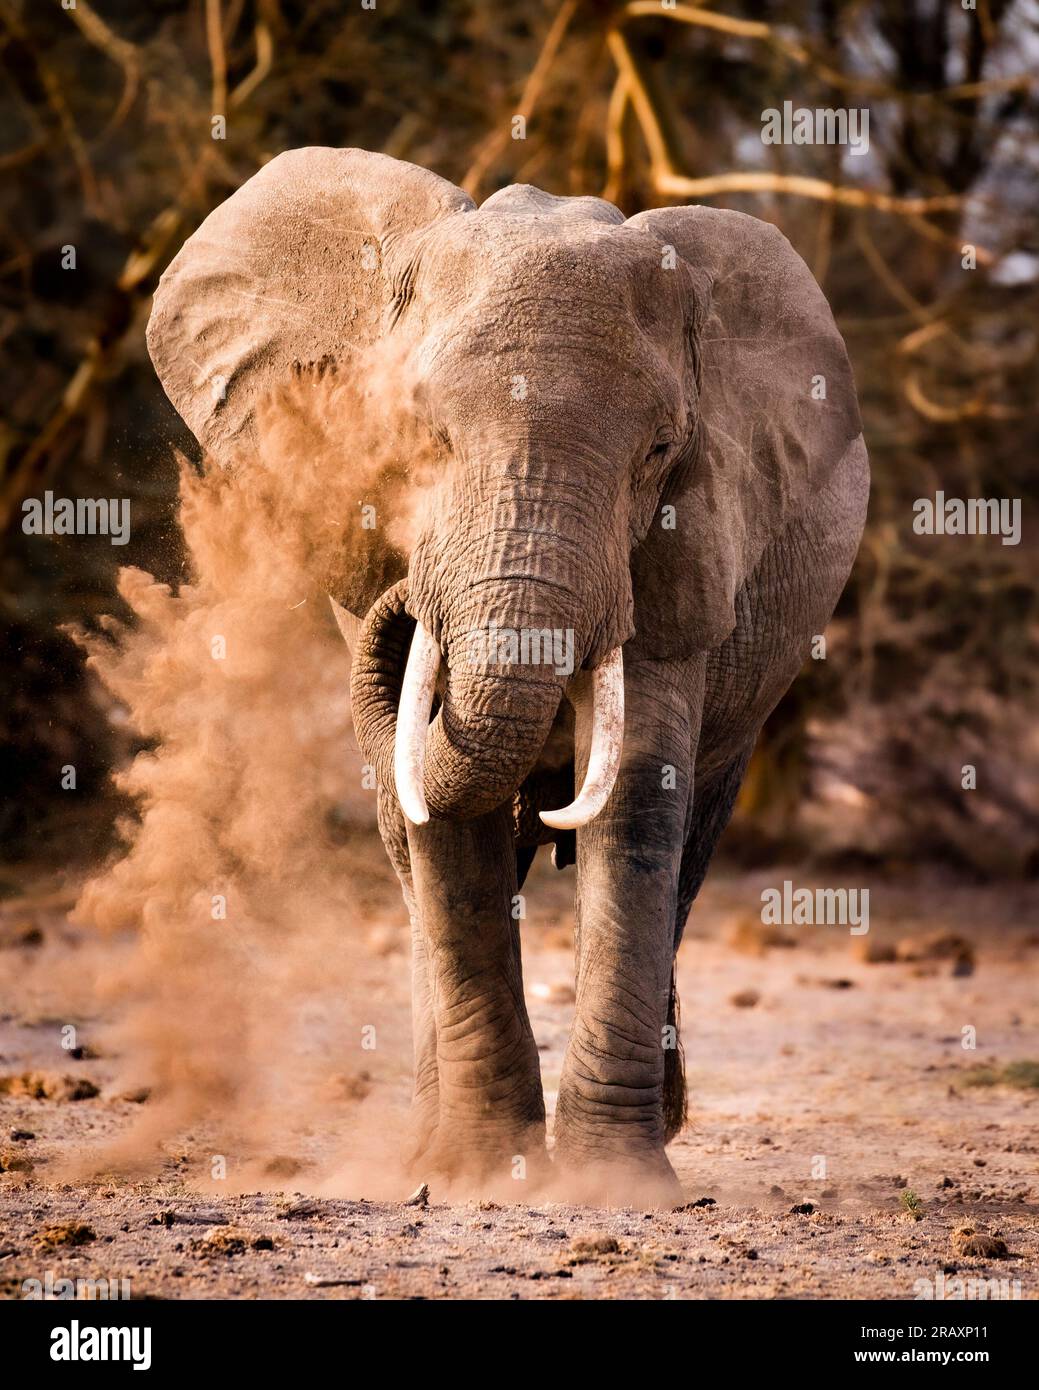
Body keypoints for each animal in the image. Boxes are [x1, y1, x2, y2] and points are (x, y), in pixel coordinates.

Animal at [147, 147, 869, 1203]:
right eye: (417, 432)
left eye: (660, 450)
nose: (405, 602)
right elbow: (440, 822)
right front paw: (481, 1174)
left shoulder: (687, 546)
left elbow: (638, 798)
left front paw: (611, 1185)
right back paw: (421, 1144)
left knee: (691, 837)